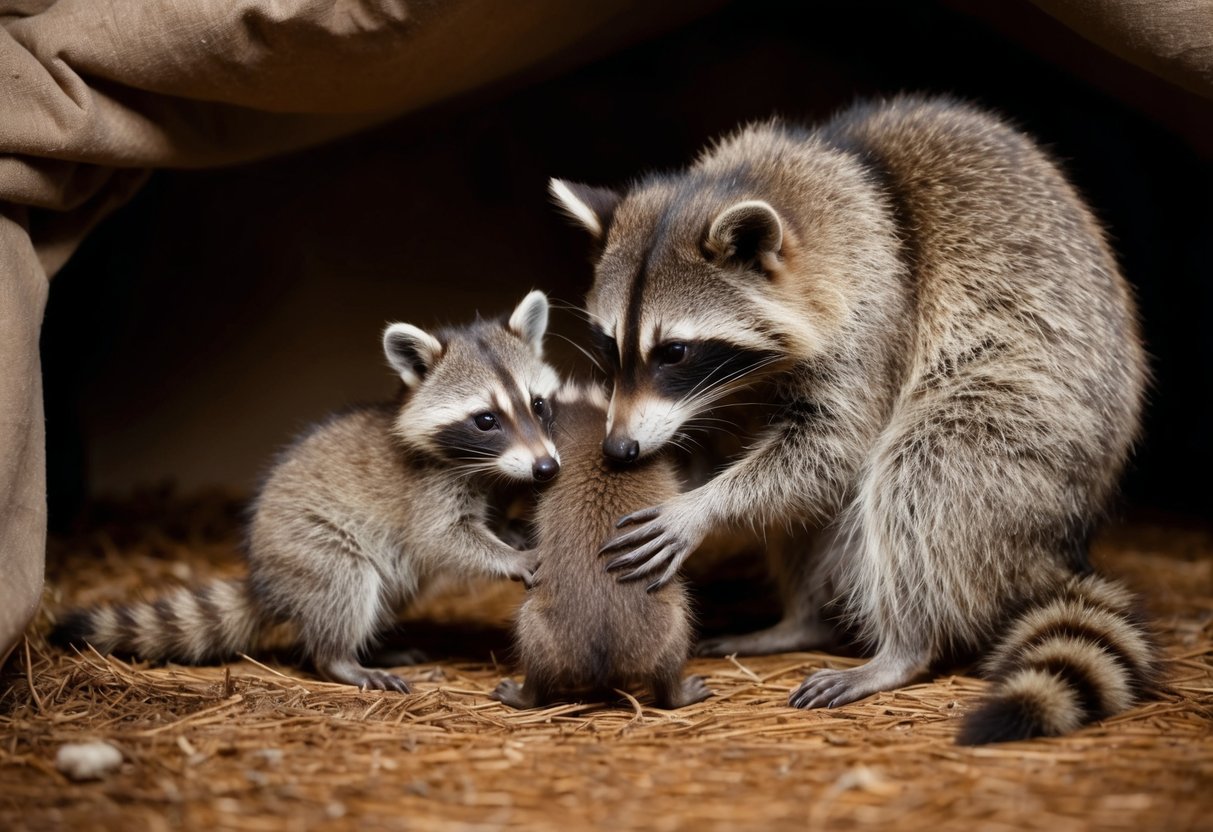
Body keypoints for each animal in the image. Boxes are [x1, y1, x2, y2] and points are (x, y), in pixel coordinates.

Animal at [53, 292, 563, 692]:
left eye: (538, 405)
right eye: (486, 419)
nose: (546, 468)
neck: (483, 466)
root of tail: (265, 581)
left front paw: (511, 531)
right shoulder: (428, 487)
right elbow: (442, 540)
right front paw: (511, 556)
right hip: (307, 544)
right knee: (346, 582)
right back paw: (338, 658)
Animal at [491, 382, 710, 710]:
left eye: (537, 404)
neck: (585, 418)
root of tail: (602, 657)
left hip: (539, 628)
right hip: (672, 626)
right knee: (667, 683)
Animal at [550, 96, 1158, 743]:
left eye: (674, 352)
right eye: (609, 344)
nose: (619, 450)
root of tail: (1063, 547)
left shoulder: (879, 310)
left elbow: (834, 449)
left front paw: (702, 506)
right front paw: (679, 467)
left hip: (1041, 427)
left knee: (925, 472)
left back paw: (905, 645)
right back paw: (804, 620)